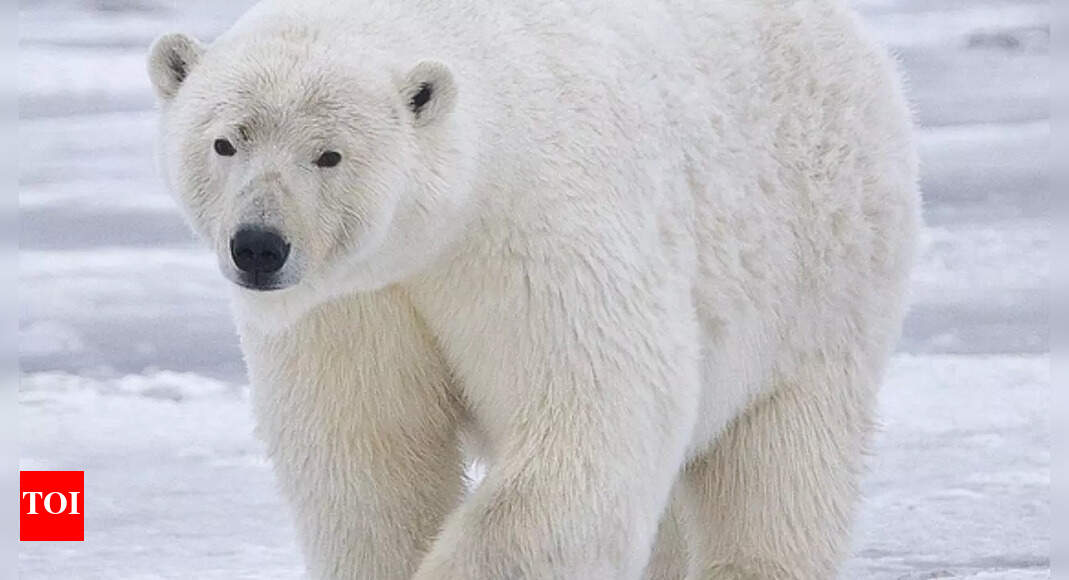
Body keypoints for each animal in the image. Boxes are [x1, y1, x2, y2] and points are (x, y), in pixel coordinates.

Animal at [147, 0, 919, 578]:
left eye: (329, 154)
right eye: (225, 141)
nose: (259, 246)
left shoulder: (539, 229)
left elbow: (591, 417)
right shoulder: (354, 302)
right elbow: (368, 452)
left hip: (821, 269)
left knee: (781, 465)